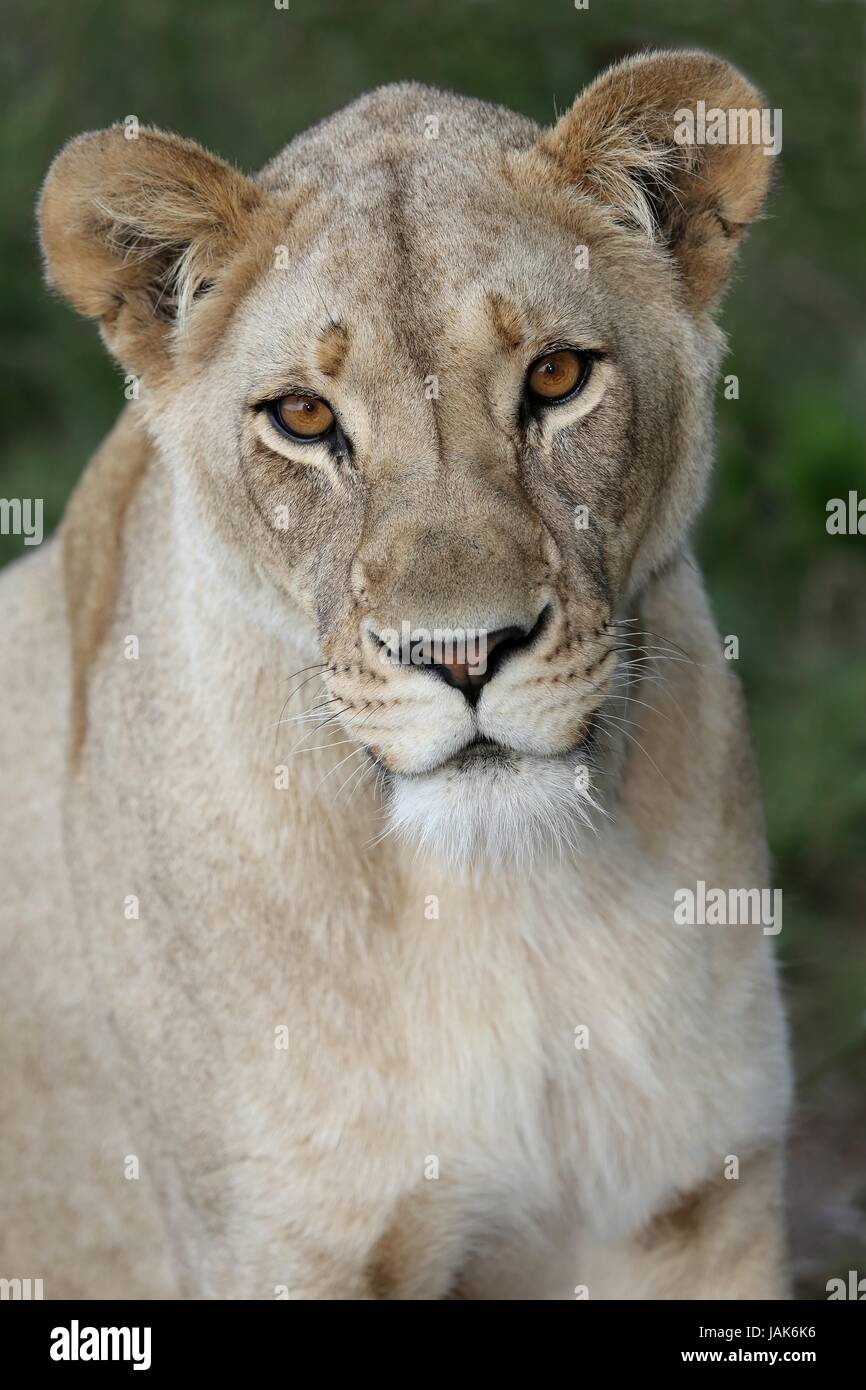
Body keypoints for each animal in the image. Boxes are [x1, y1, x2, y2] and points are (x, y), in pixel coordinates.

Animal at [0, 50, 790, 1299]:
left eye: (555, 376)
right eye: (302, 416)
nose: (461, 653)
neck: (502, 904)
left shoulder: (692, 1203)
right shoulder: (284, 1253)